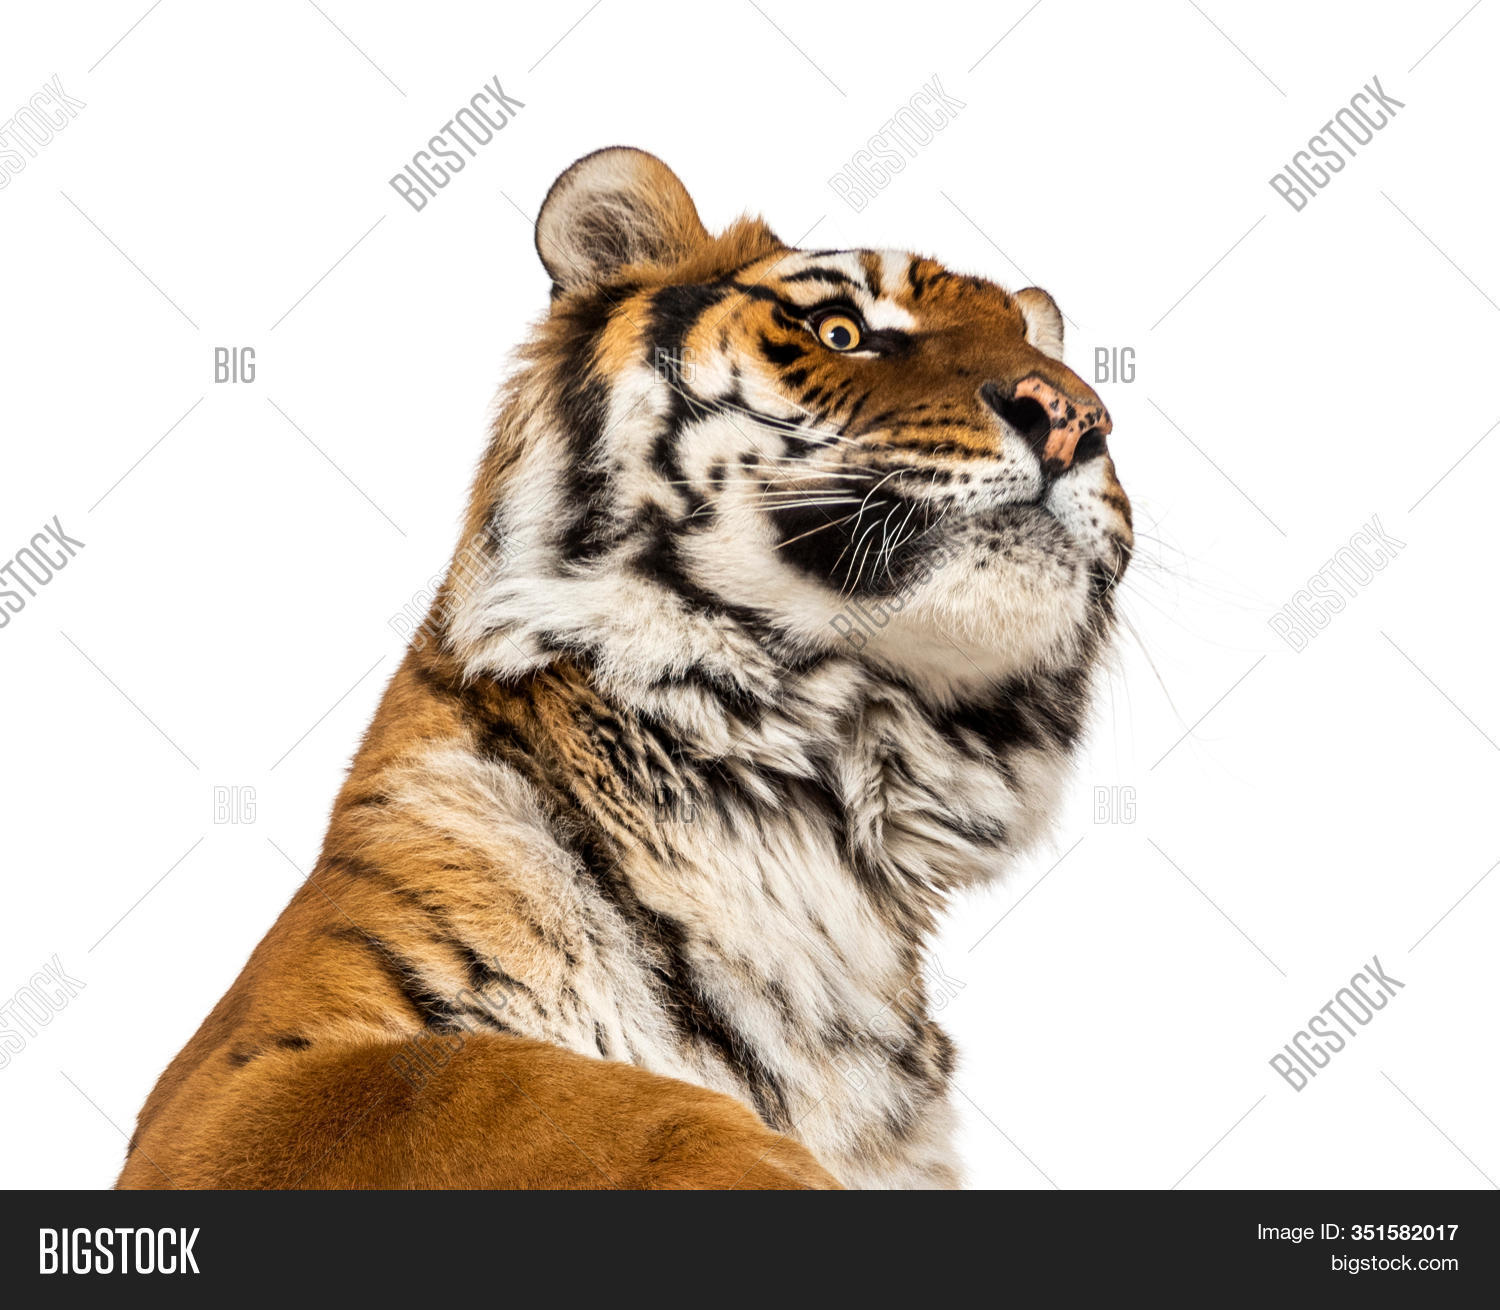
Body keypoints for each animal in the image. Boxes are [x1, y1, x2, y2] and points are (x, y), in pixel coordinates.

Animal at [117, 147, 1130, 1190]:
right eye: (840, 330)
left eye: (1049, 357)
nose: (1076, 415)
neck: (810, 795)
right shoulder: (230, 1089)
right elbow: (513, 1087)